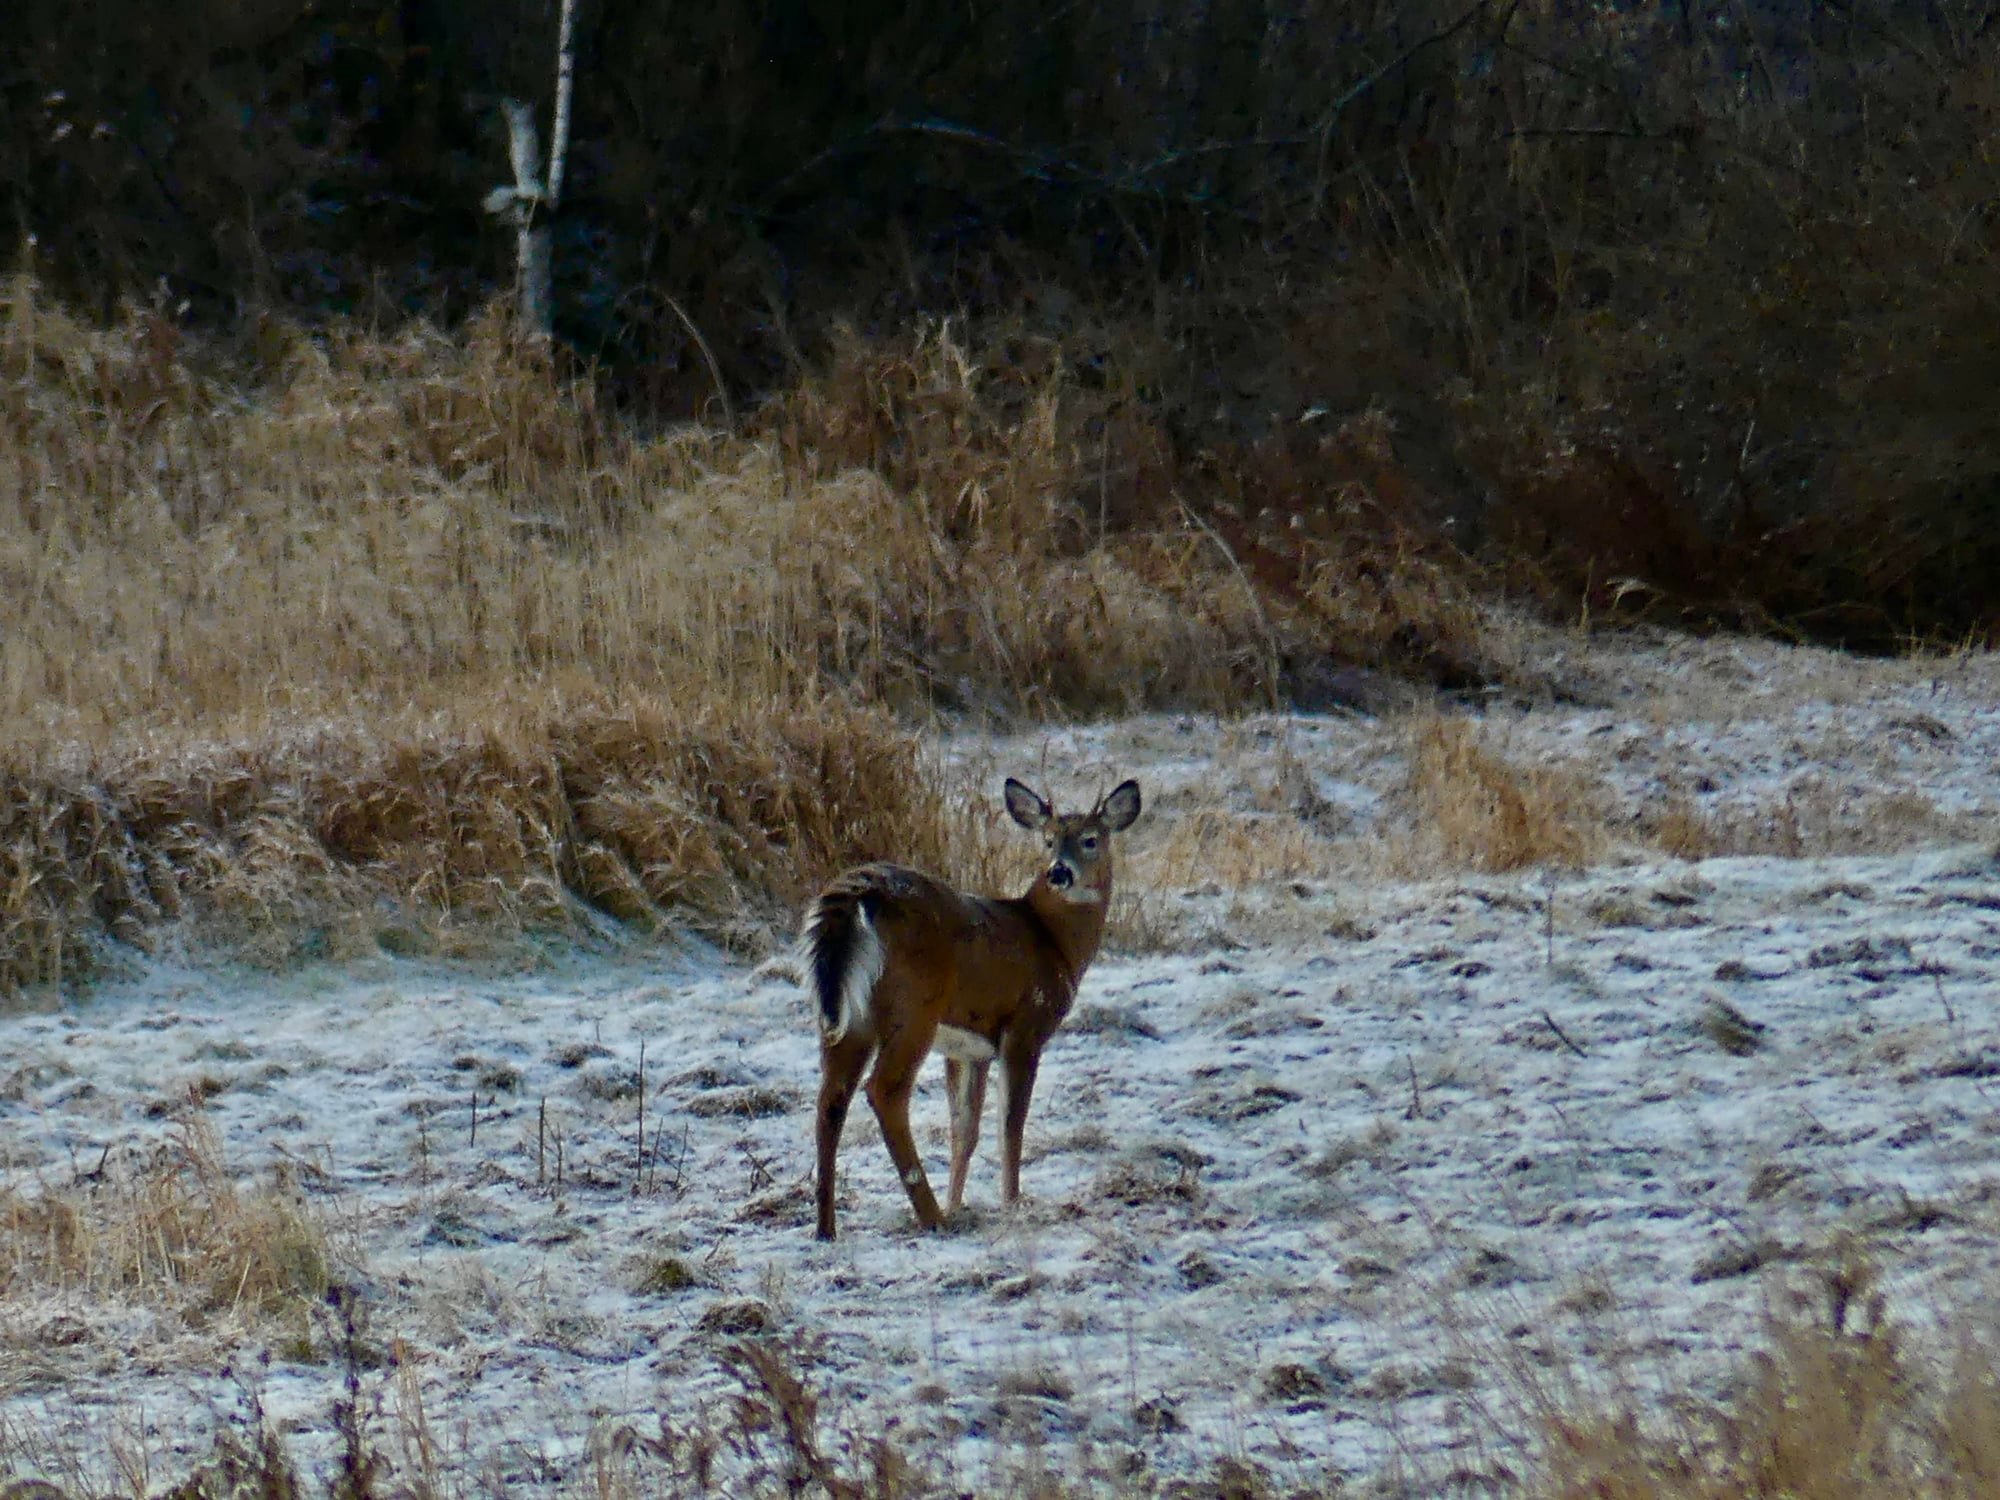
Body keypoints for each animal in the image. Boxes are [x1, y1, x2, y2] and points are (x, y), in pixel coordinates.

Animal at [802, 777, 1142, 1240]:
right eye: (1048, 840)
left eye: (1090, 839)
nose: (1059, 872)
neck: (1053, 942)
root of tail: (856, 895)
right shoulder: (1025, 1025)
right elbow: (1010, 1124)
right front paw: (1011, 1202)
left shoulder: (968, 1049)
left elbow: (965, 1130)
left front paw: (958, 1201)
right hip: (915, 1005)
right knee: (884, 1090)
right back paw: (930, 1217)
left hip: (844, 1016)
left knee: (830, 1099)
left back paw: (826, 1227)